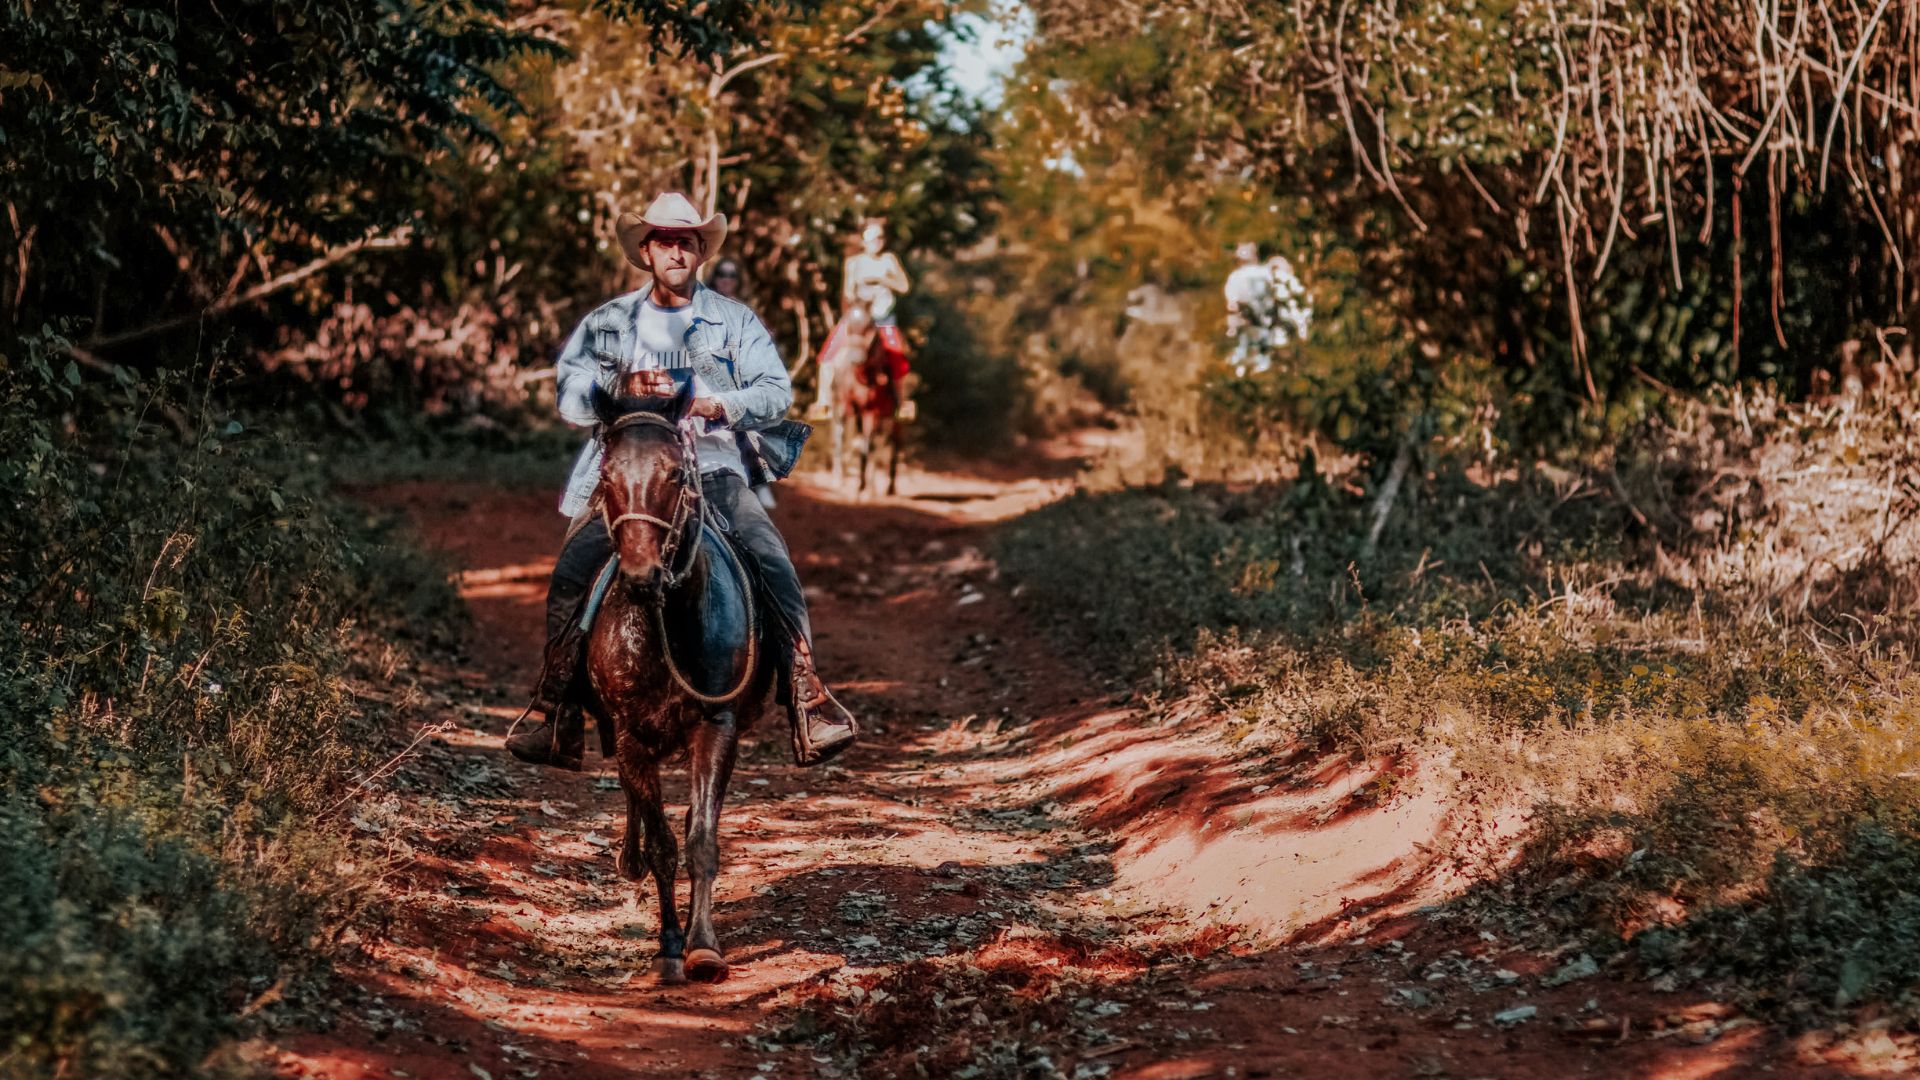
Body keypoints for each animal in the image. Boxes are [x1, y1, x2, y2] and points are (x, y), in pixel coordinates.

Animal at [582, 382, 776, 985]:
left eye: (674, 473)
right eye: (606, 475)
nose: (641, 576)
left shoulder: (716, 726)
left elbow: (701, 840)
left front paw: (703, 946)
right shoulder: (630, 737)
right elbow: (663, 845)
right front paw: (668, 947)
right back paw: (629, 859)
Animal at [826, 300, 908, 496]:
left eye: (870, 328)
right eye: (848, 327)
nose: (856, 358)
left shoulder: (872, 412)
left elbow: (868, 445)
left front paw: (866, 488)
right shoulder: (843, 406)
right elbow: (842, 439)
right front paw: (839, 481)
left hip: (894, 416)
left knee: (892, 442)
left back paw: (889, 487)